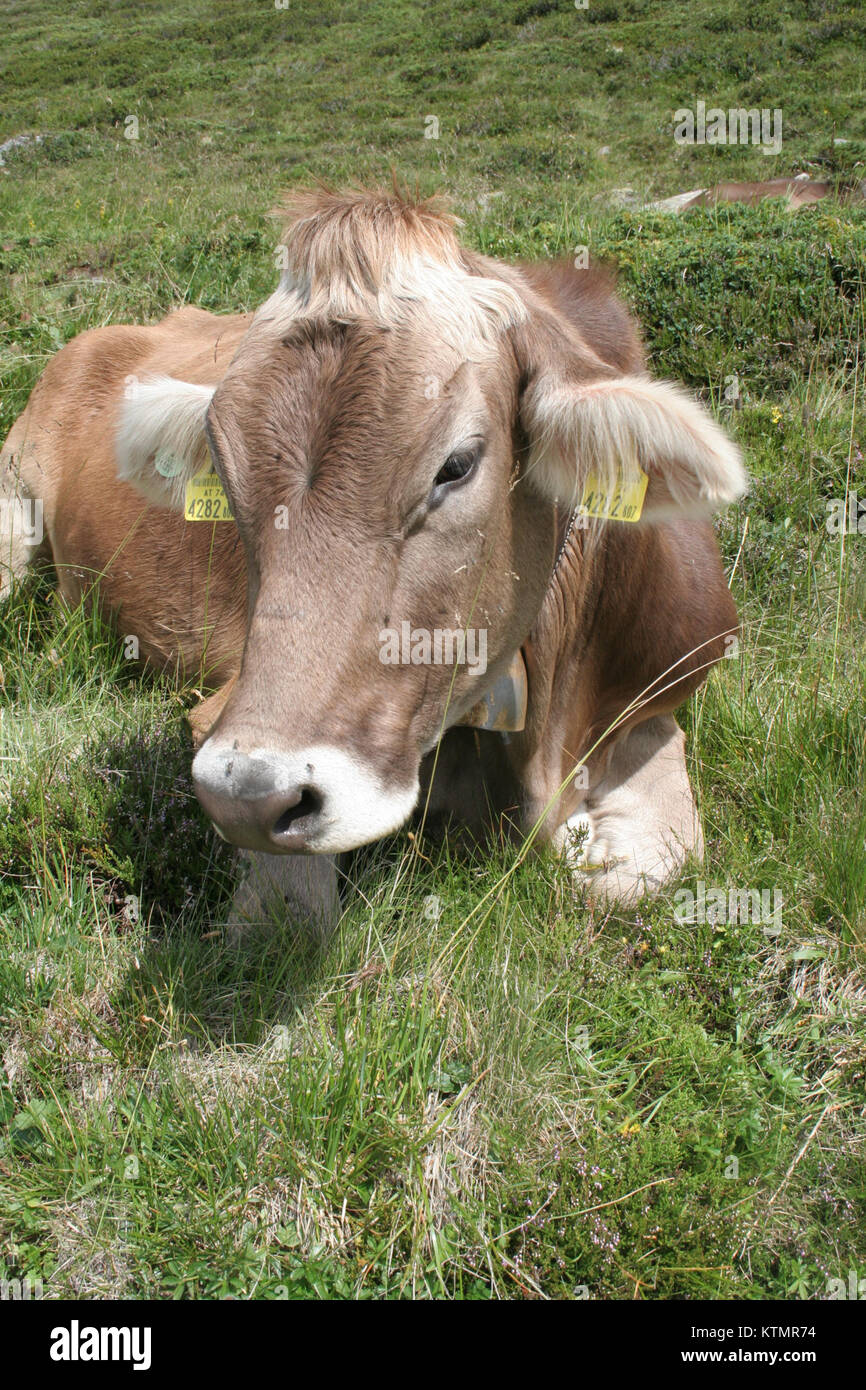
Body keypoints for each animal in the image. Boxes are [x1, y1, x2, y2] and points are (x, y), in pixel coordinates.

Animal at [1, 185, 746, 923]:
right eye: (227, 476)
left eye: (456, 465)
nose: (246, 796)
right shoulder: (226, 718)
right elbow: (287, 917)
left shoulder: (656, 691)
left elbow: (654, 862)